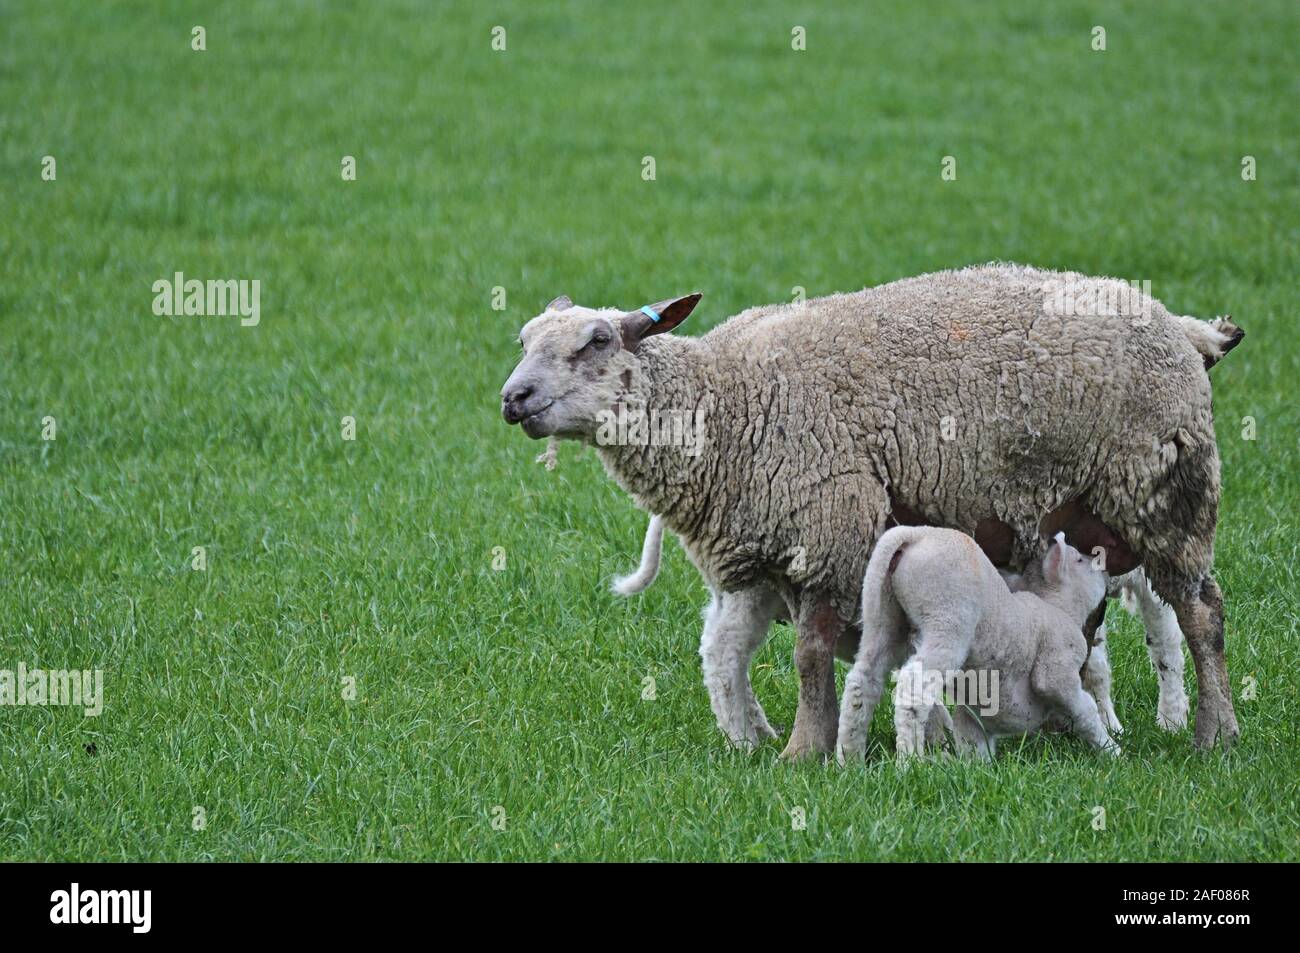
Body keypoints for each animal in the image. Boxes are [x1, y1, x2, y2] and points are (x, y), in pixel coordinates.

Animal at [836, 528, 1118, 762]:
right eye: (1079, 560)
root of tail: (913, 535)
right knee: (914, 685)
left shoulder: (974, 716)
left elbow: (973, 741)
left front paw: (978, 770)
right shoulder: (1058, 663)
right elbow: (1084, 710)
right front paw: (1111, 749)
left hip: (882, 614)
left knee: (863, 680)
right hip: (947, 619)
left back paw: (849, 761)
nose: (1106, 571)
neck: (1058, 607)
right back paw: (911, 763)